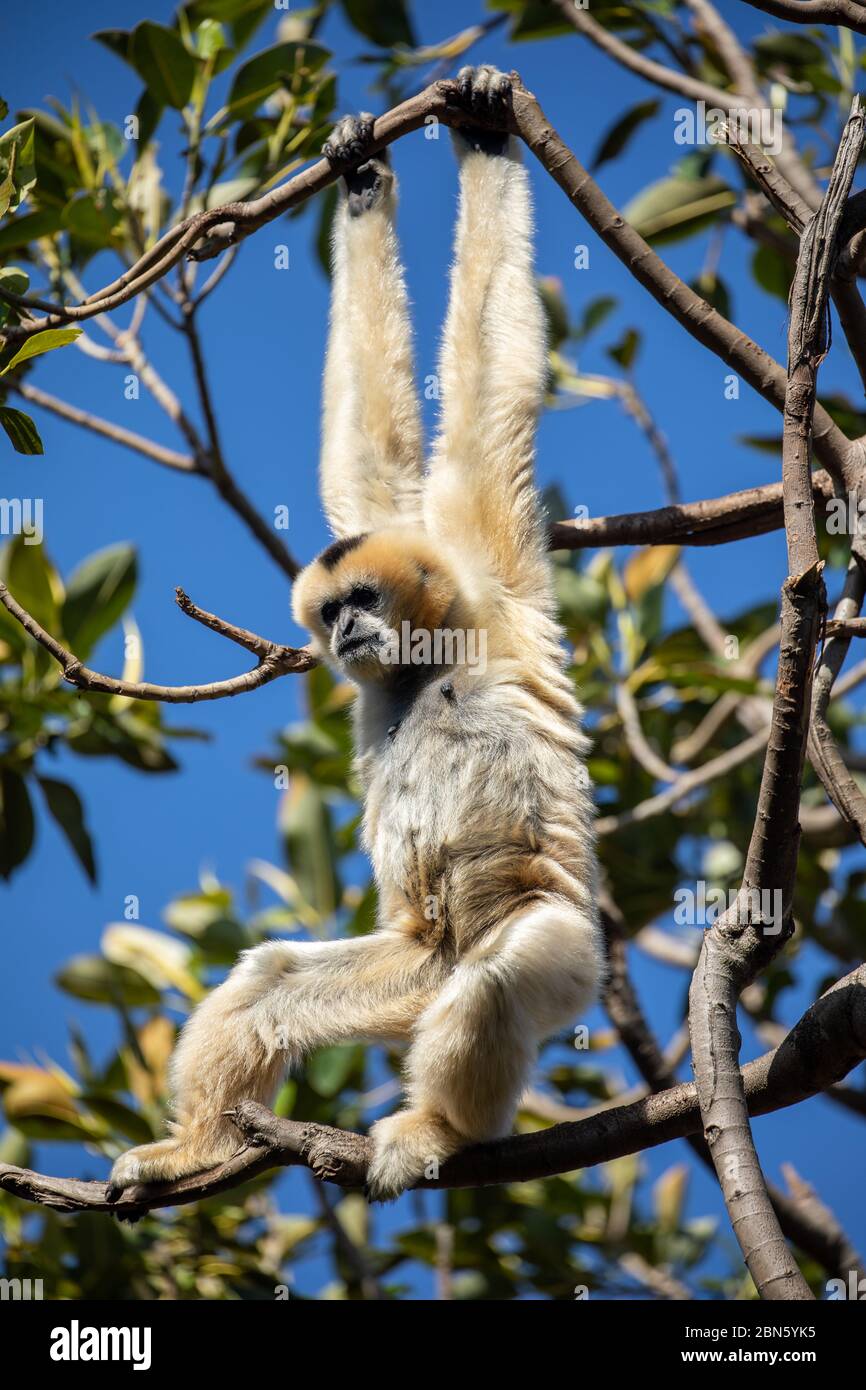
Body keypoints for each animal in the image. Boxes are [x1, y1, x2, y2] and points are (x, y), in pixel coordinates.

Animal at [107, 66, 602, 1205]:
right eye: (331, 611)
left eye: (363, 601)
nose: (346, 630)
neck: (428, 668)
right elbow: (368, 466)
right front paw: (363, 178)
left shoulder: (491, 578)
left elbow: (491, 383)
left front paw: (482, 132)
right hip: (404, 966)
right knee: (271, 978)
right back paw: (200, 1146)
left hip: (561, 953)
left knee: (495, 981)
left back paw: (441, 1129)